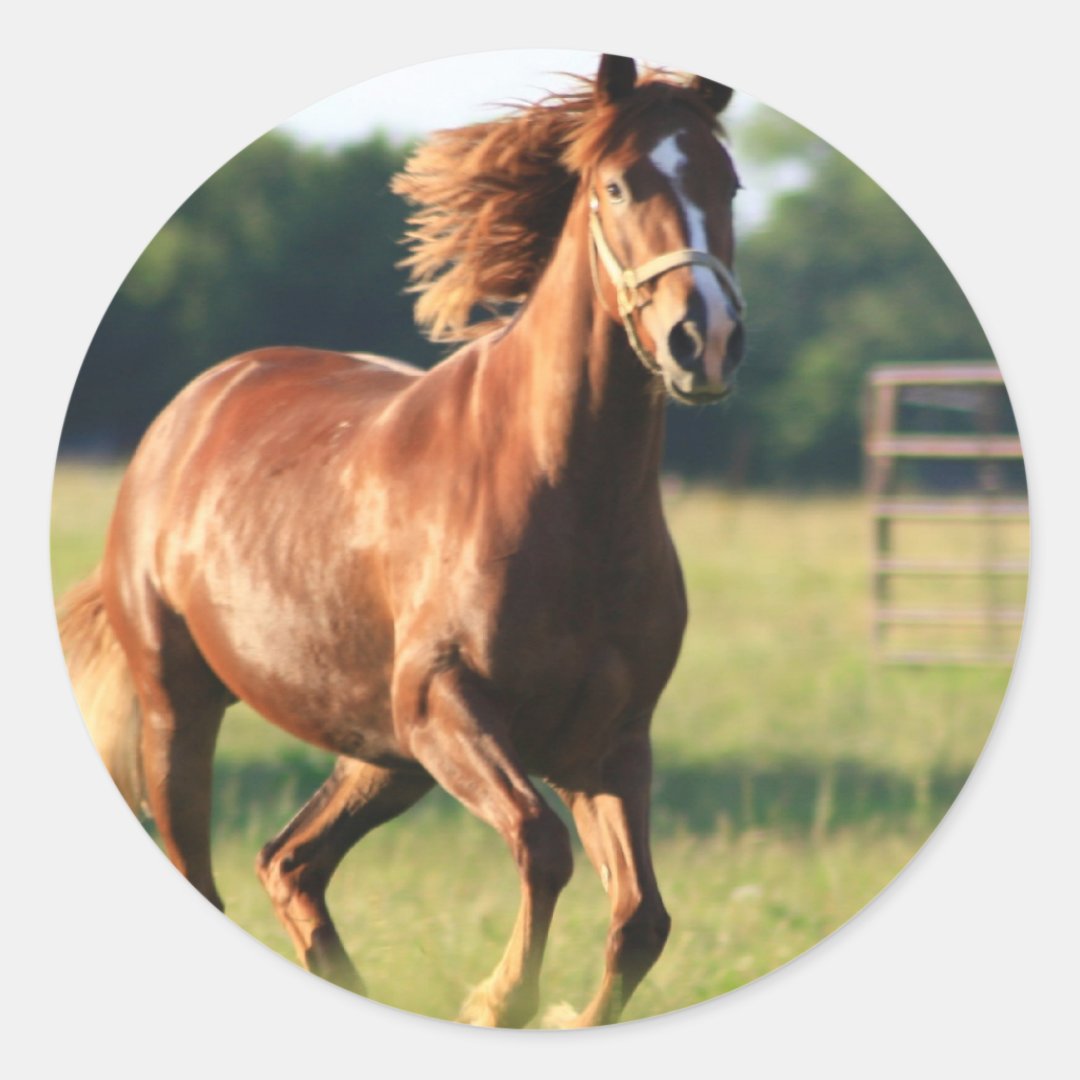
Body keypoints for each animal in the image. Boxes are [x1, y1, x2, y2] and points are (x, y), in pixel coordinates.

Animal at [57, 54, 745, 1028]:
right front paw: (499, 998)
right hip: (184, 712)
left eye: (730, 184)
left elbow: (641, 920)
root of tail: (187, 413)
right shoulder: (443, 704)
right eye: (619, 183)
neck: (565, 500)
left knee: (290, 863)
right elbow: (541, 843)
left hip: (381, 753)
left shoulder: (608, 743)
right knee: (210, 870)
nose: (705, 339)